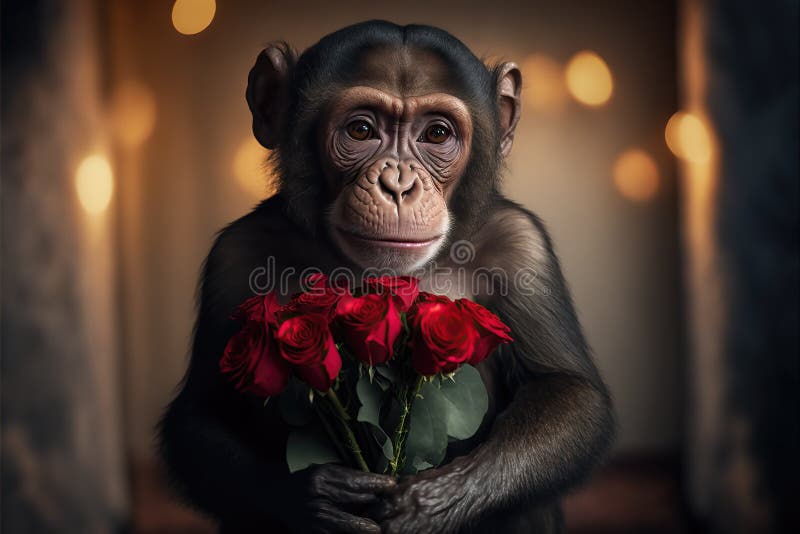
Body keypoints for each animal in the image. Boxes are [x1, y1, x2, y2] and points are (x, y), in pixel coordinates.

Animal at [159, 20, 615, 534]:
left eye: (437, 133)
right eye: (361, 129)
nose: (398, 184)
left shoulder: (521, 247)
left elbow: (567, 391)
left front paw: (432, 503)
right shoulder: (235, 253)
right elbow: (203, 413)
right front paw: (315, 499)